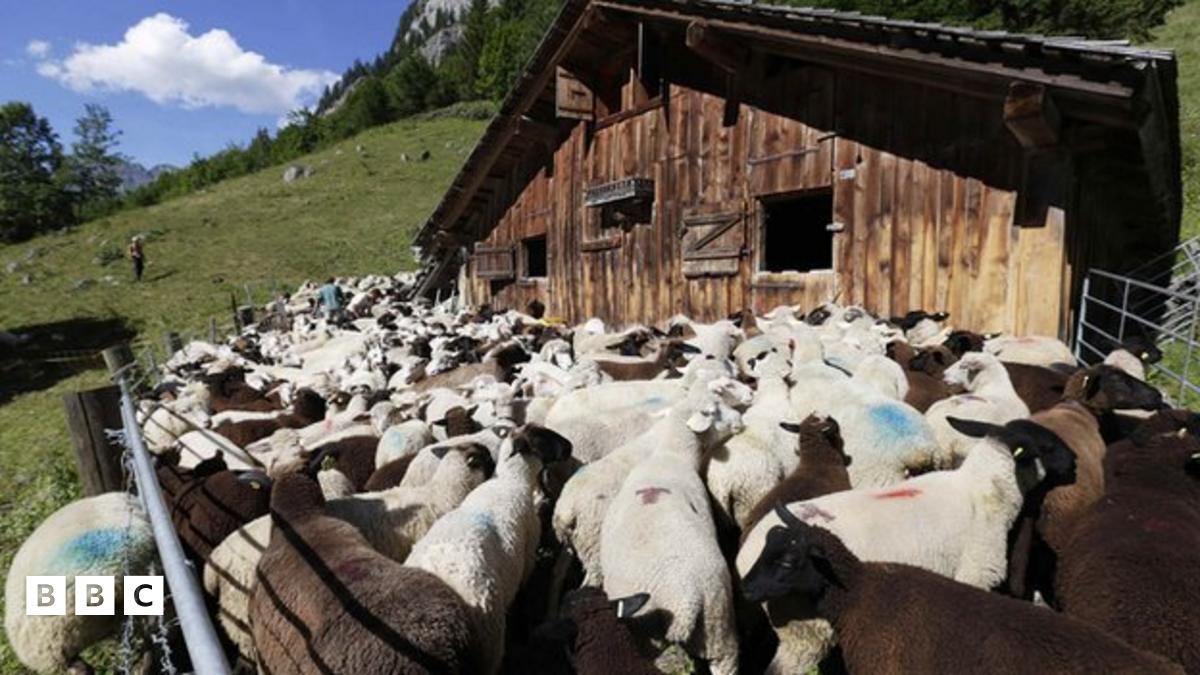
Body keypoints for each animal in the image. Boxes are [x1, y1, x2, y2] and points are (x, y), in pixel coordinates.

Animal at [405, 425, 574, 675]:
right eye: (542, 437)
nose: (570, 446)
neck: (513, 481)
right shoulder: (527, 561)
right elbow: (522, 602)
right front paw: (523, 633)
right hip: (490, 641)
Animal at [599, 378, 751, 675]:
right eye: (714, 410)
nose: (740, 420)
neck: (672, 455)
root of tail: (686, 598)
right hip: (718, 626)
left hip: (706, 628)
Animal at [736, 416, 1077, 673]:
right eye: (1046, 446)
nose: (1074, 464)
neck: (983, 491)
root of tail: (744, 560)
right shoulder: (976, 575)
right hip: (804, 630)